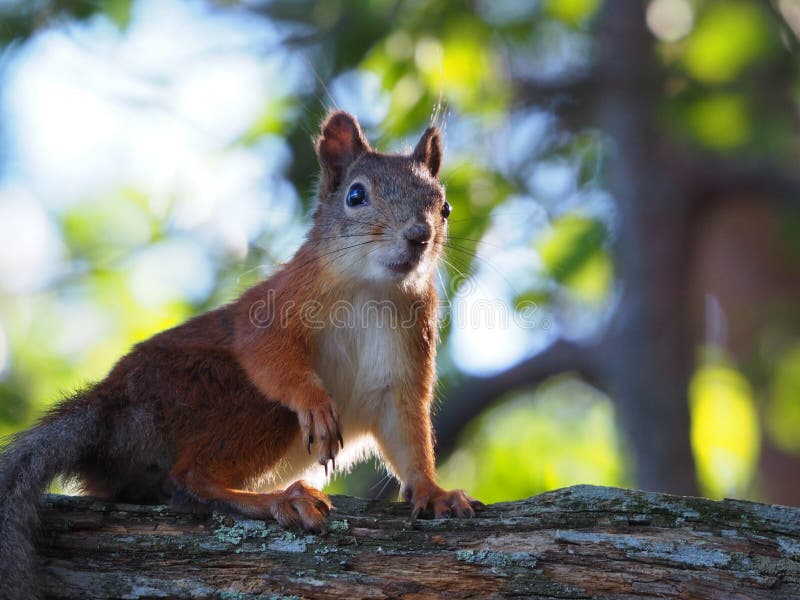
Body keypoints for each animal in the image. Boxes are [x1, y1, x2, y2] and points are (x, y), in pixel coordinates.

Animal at [0, 111, 482, 599]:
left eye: (444, 207)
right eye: (356, 195)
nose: (419, 235)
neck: (372, 289)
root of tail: (112, 405)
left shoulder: (405, 362)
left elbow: (406, 431)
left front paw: (433, 491)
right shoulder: (275, 306)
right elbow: (267, 352)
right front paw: (313, 402)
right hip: (232, 395)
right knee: (189, 479)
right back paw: (282, 499)